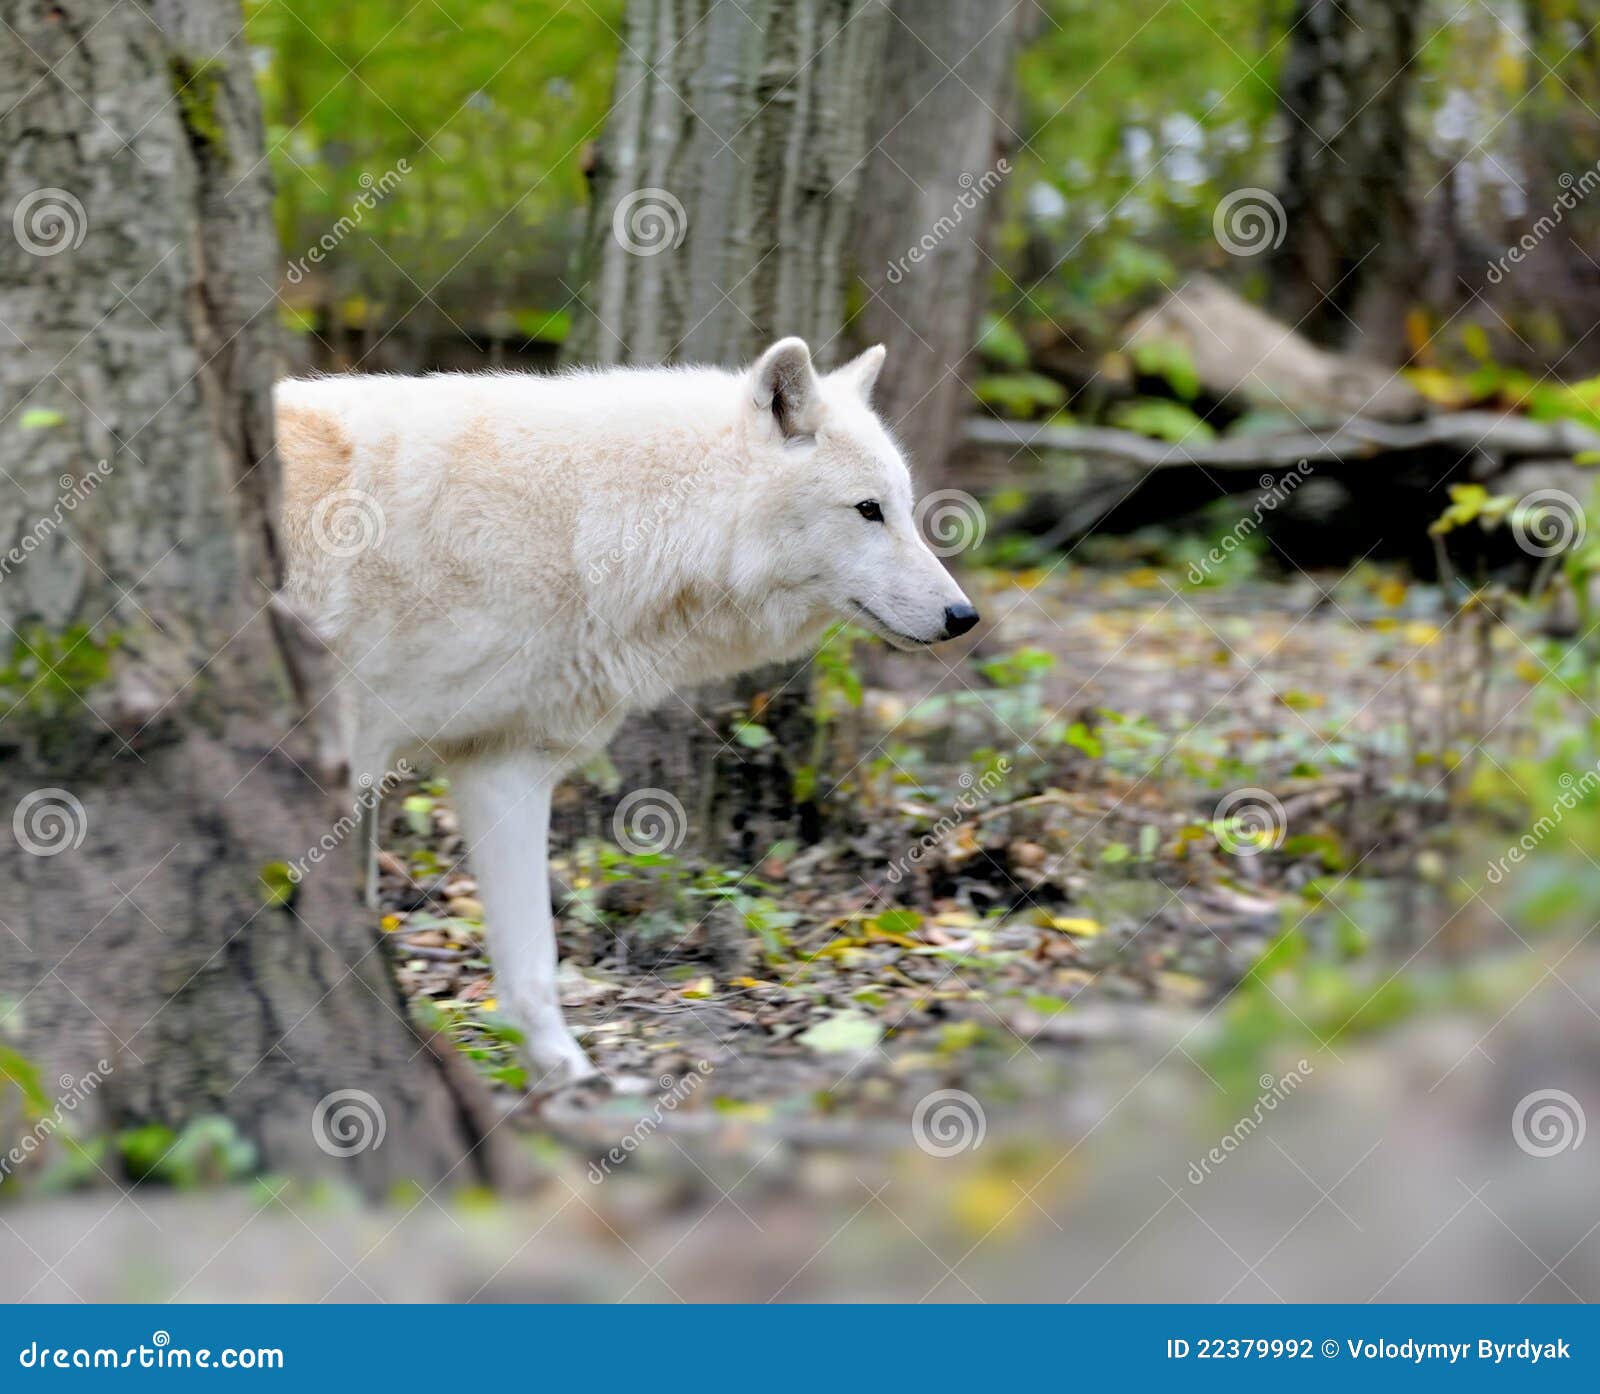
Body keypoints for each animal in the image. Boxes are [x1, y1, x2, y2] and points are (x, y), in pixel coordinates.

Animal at [276, 337, 979, 1085]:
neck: (582, 525)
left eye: (904, 506)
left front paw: (569, 1077)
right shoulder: (353, 760)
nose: (964, 616)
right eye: (869, 510)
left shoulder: (501, 761)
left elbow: (532, 964)